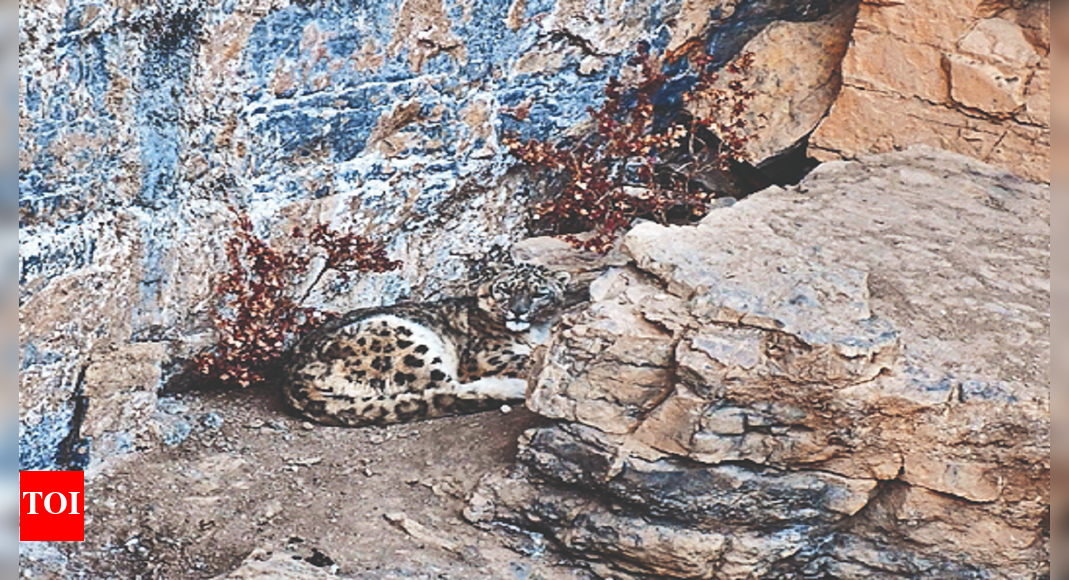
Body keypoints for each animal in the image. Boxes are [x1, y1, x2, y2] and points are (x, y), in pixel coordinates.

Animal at [282, 263, 571, 427]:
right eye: (506, 289)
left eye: (539, 293)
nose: (518, 311)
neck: (536, 332)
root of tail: (291, 378)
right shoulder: (487, 358)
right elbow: (528, 358)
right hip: (403, 343)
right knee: (447, 390)